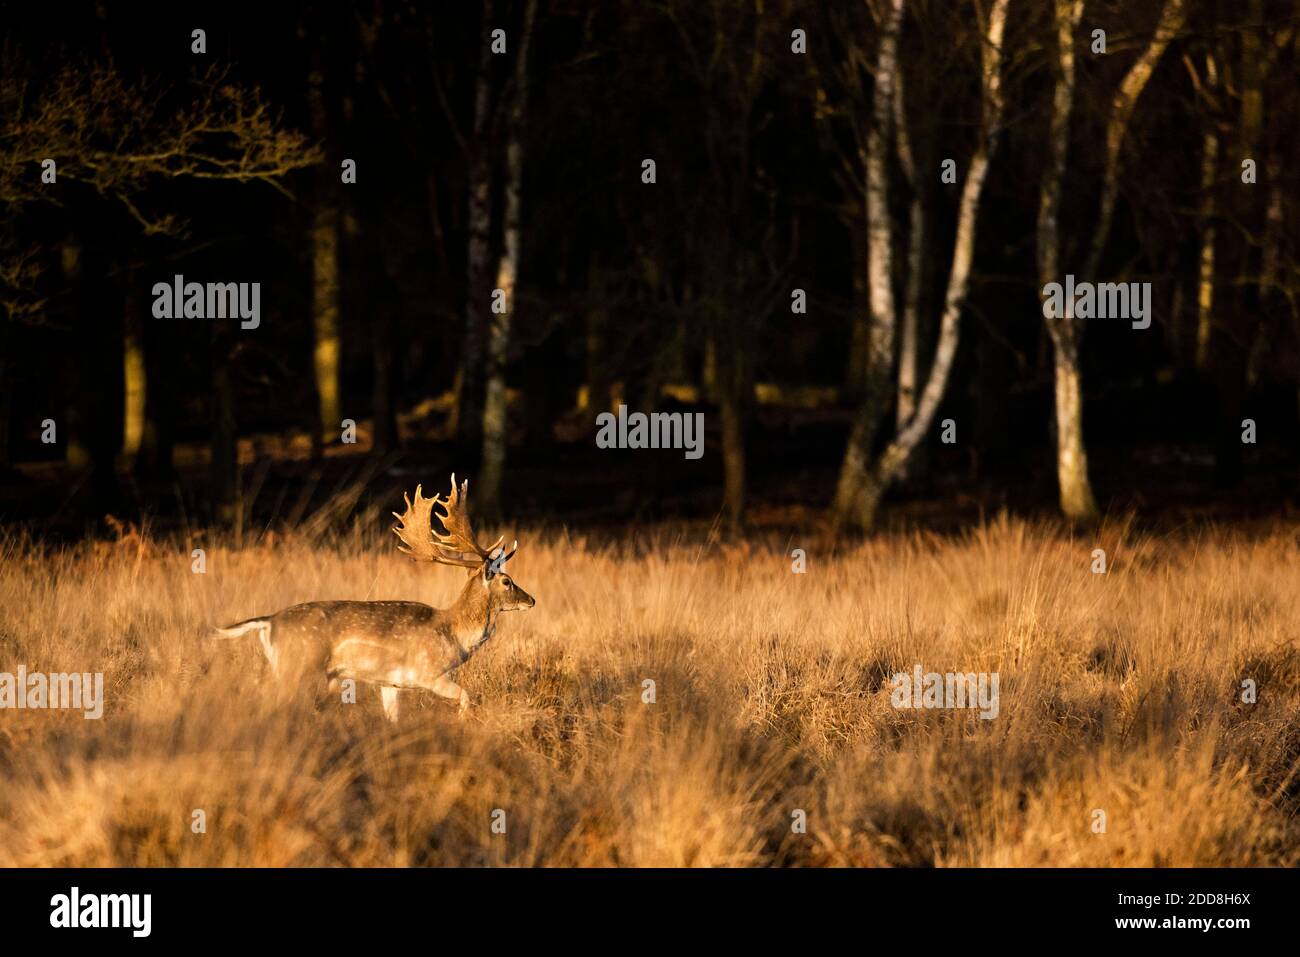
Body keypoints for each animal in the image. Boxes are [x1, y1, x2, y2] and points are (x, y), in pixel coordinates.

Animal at [210, 475, 535, 721]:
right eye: (507, 581)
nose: (531, 600)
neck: (454, 634)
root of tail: (269, 622)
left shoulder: (390, 683)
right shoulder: (428, 673)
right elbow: (466, 697)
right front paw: (462, 723)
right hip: (296, 664)